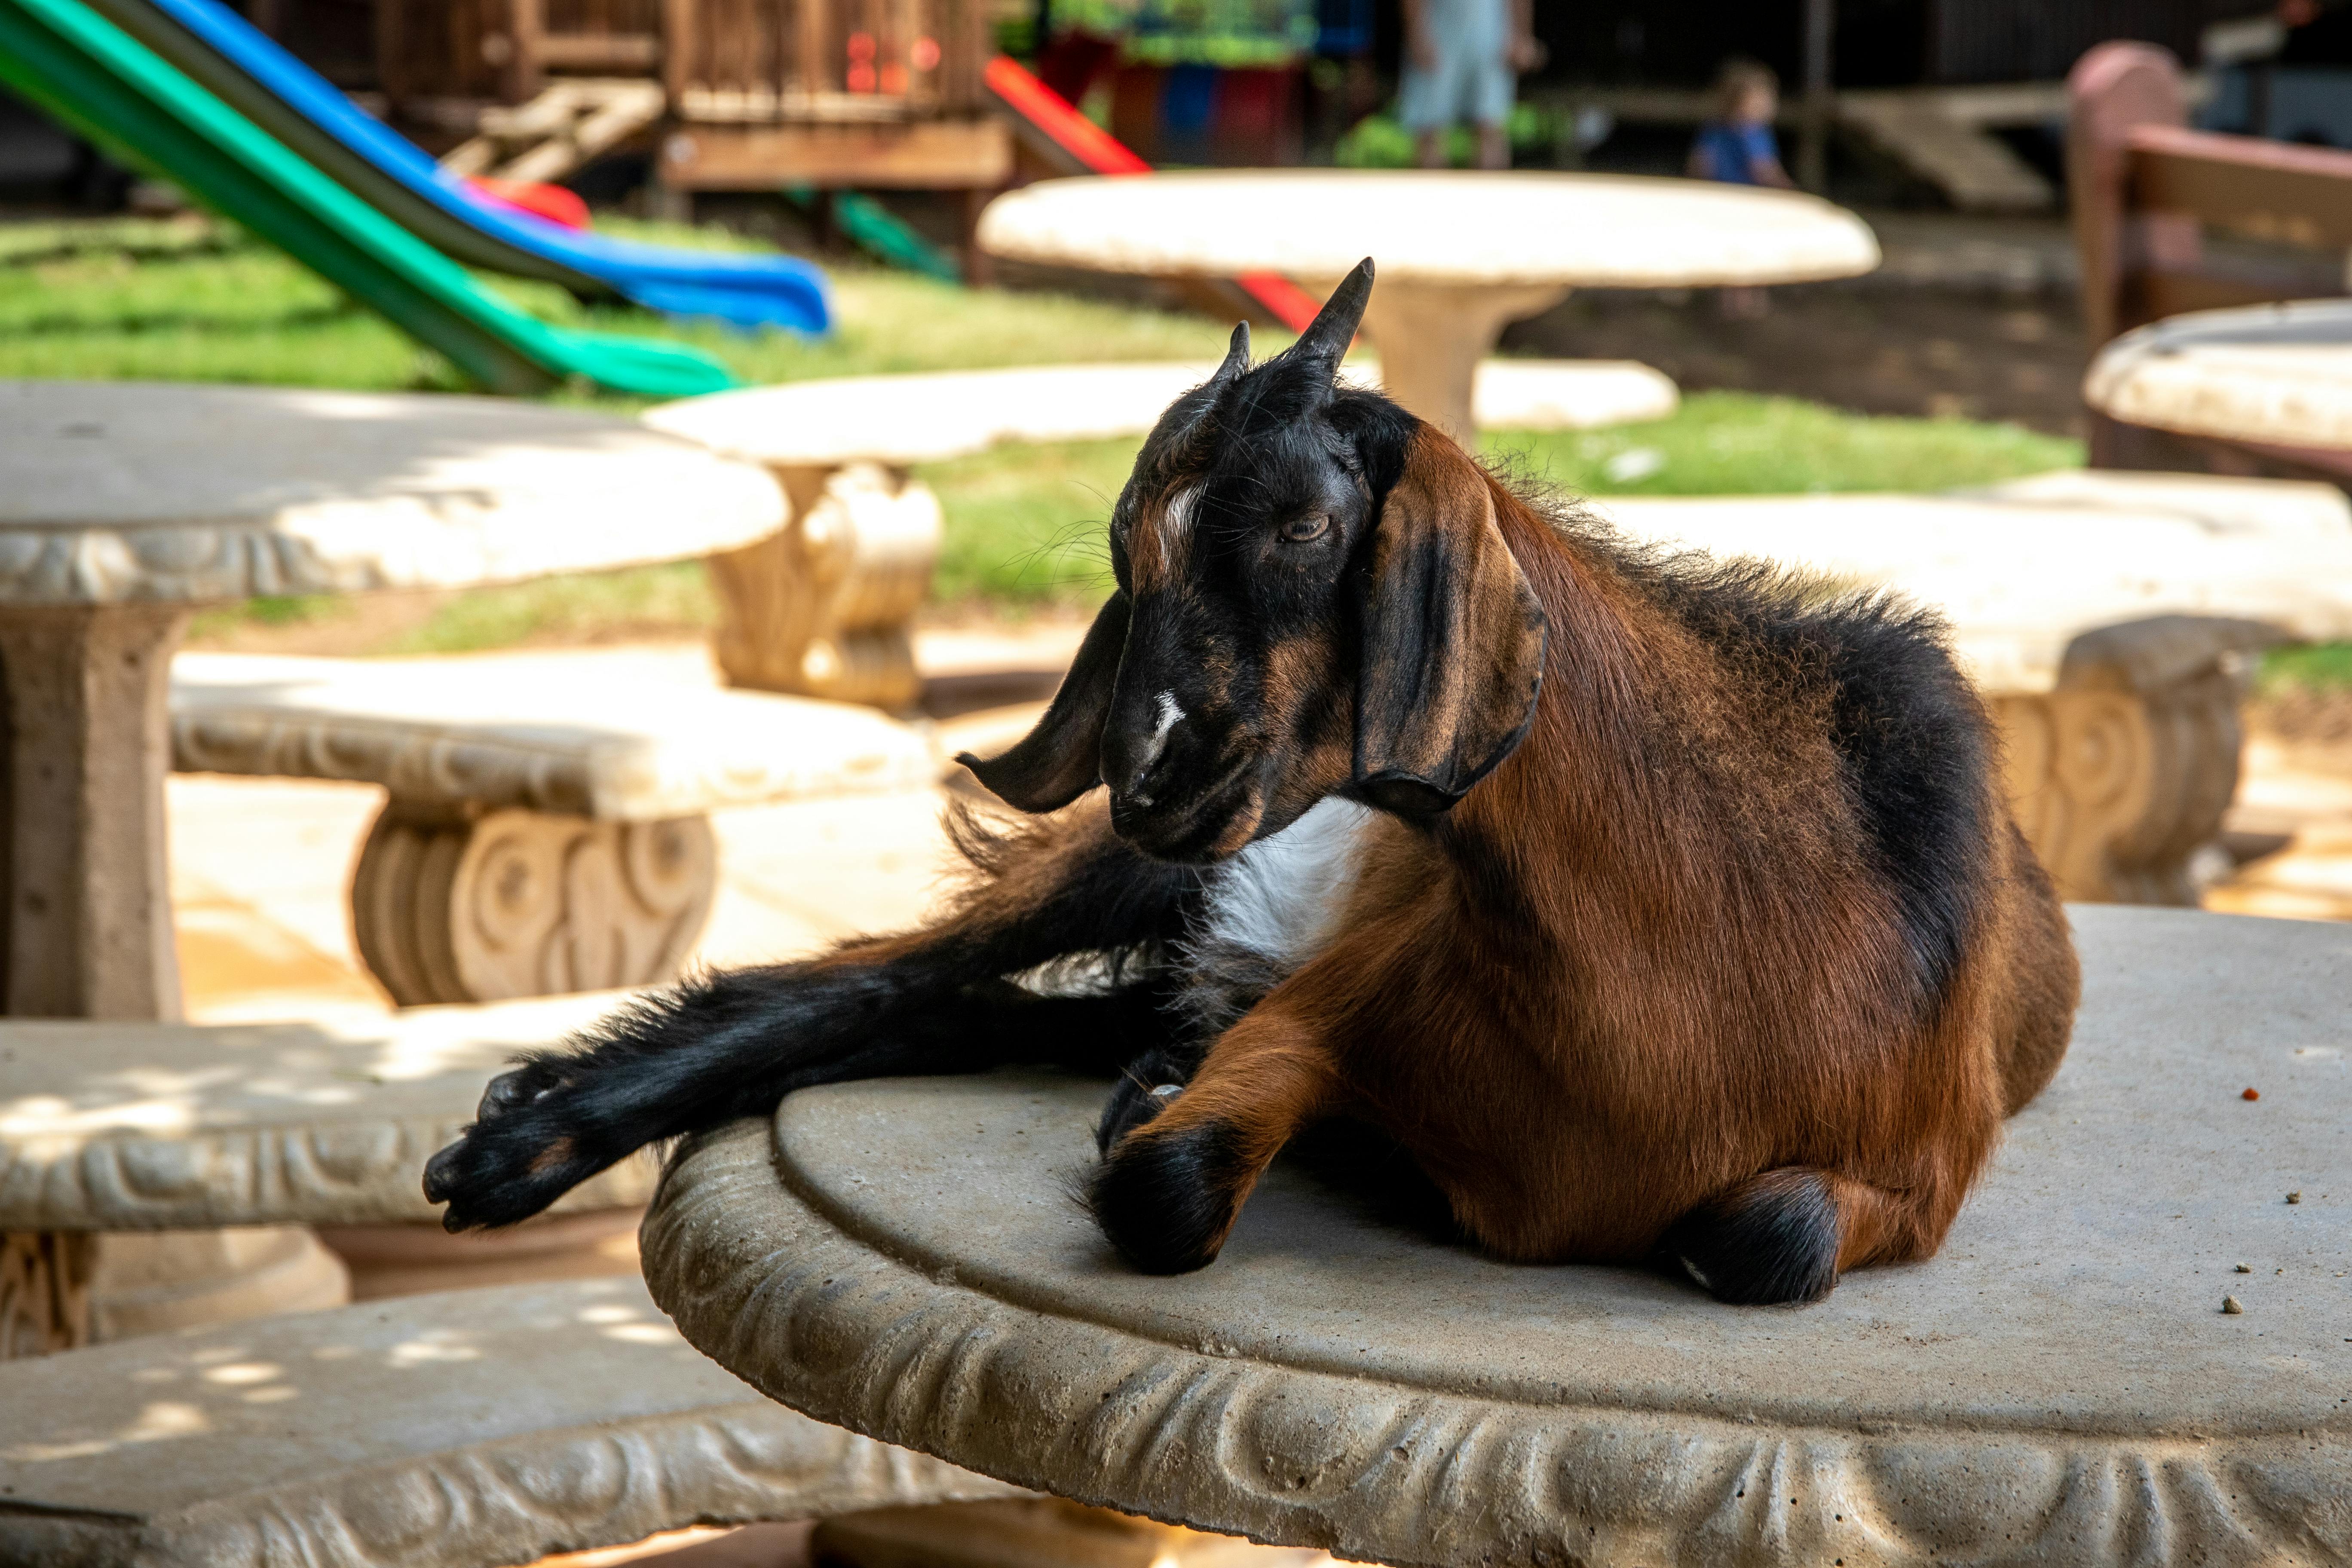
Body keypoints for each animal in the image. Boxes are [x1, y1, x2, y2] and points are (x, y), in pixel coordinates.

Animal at [425, 261, 2080, 1305]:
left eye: (1304, 524)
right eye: (1125, 544)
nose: (1150, 762)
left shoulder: (1920, 1172)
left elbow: (1767, 1234)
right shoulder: (1327, 997)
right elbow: (1165, 1184)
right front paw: (1171, 1125)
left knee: (981, 1008)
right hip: (1149, 877)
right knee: (882, 973)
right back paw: (518, 1138)